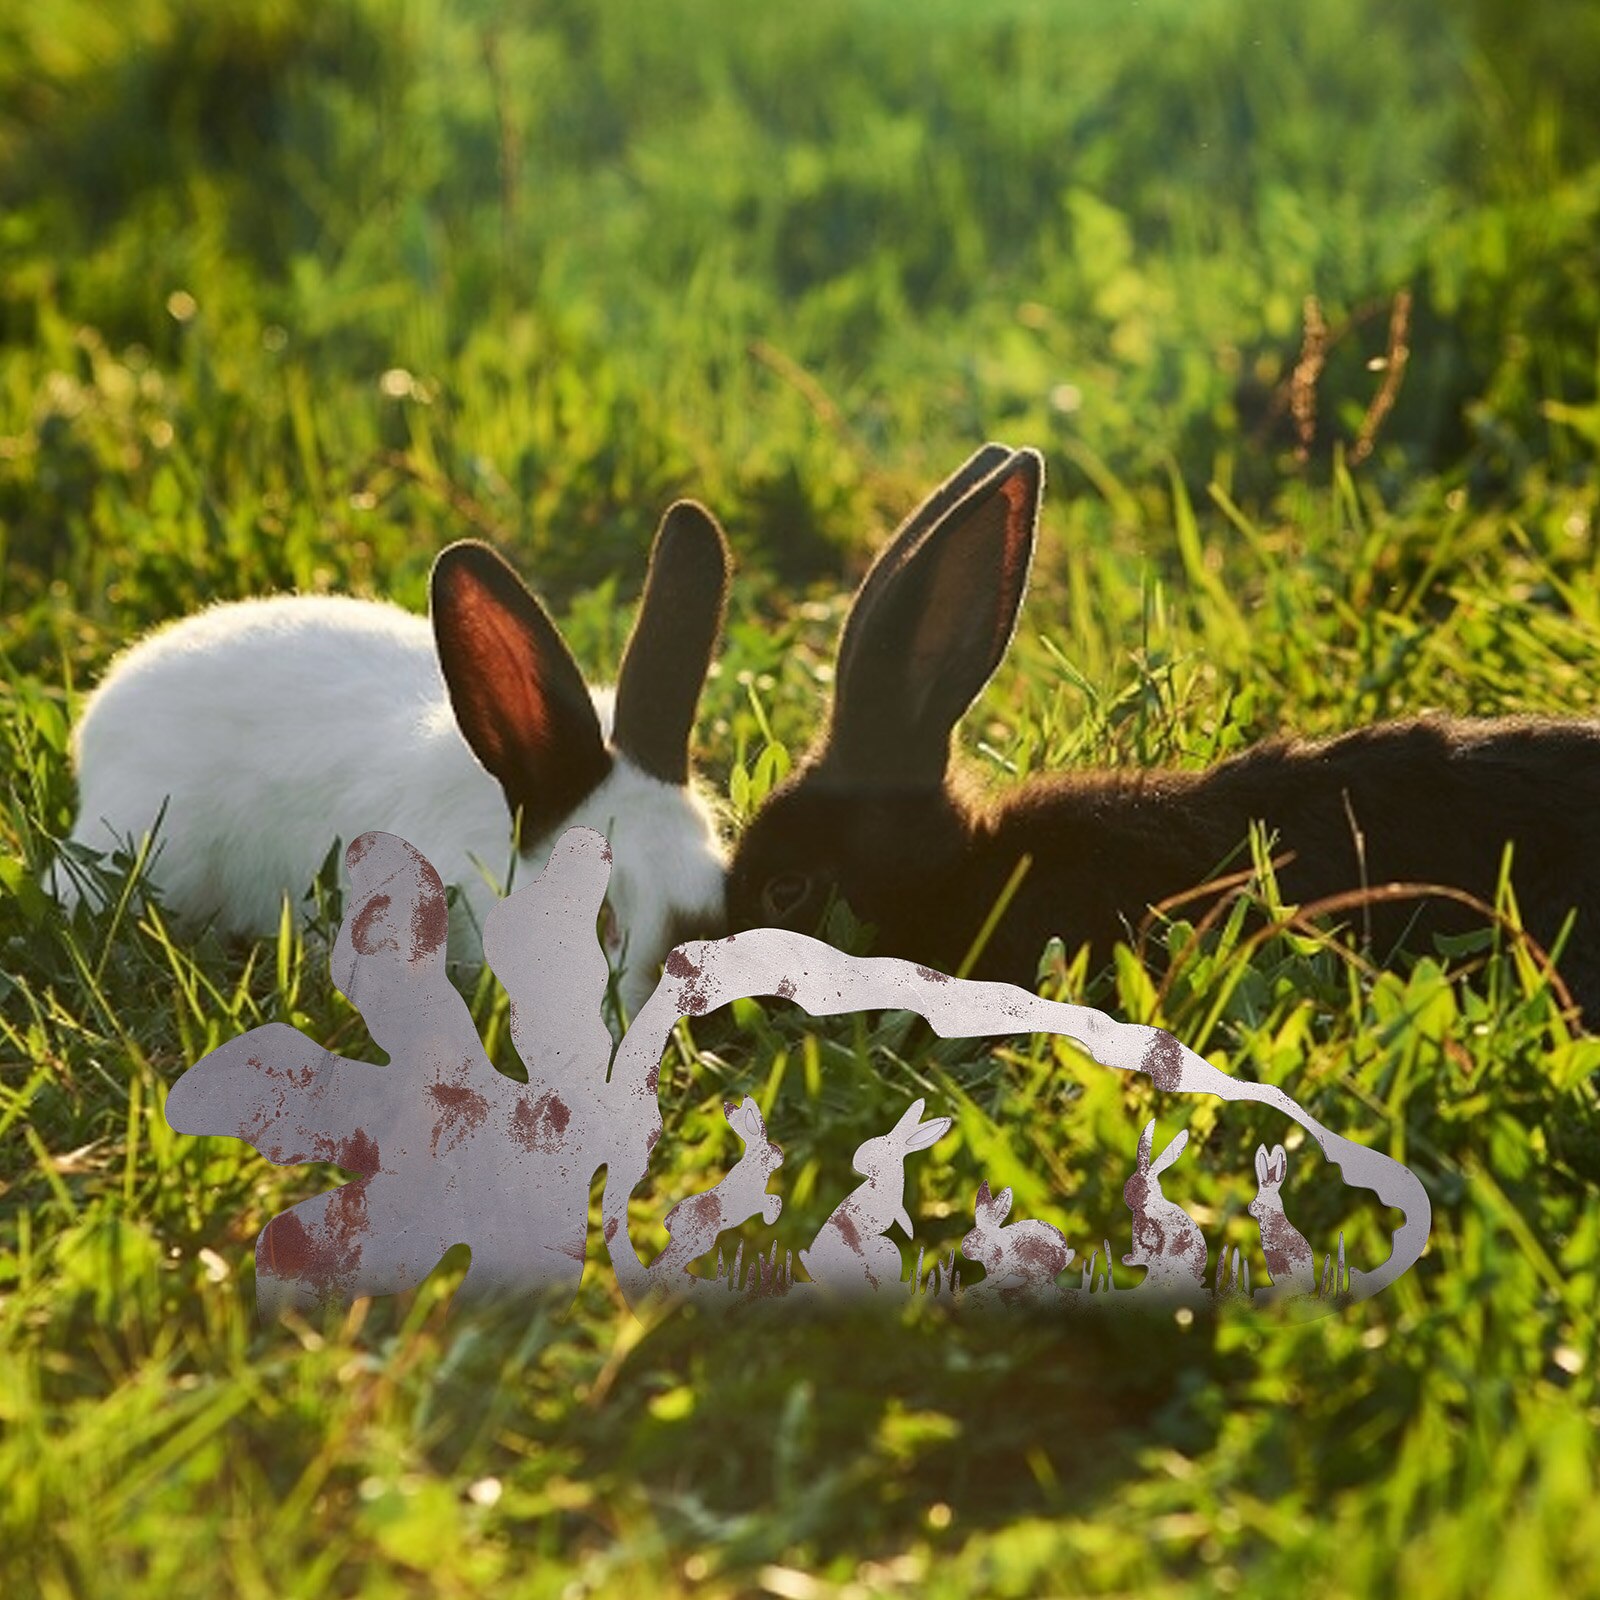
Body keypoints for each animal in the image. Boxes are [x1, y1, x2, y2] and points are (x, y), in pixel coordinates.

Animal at [651, 1097, 784, 1281]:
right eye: (771, 1149)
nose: (781, 1156)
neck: (754, 1163)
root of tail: (669, 1220)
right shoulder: (754, 1199)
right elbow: (773, 1199)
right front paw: (771, 1218)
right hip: (697, 1241)